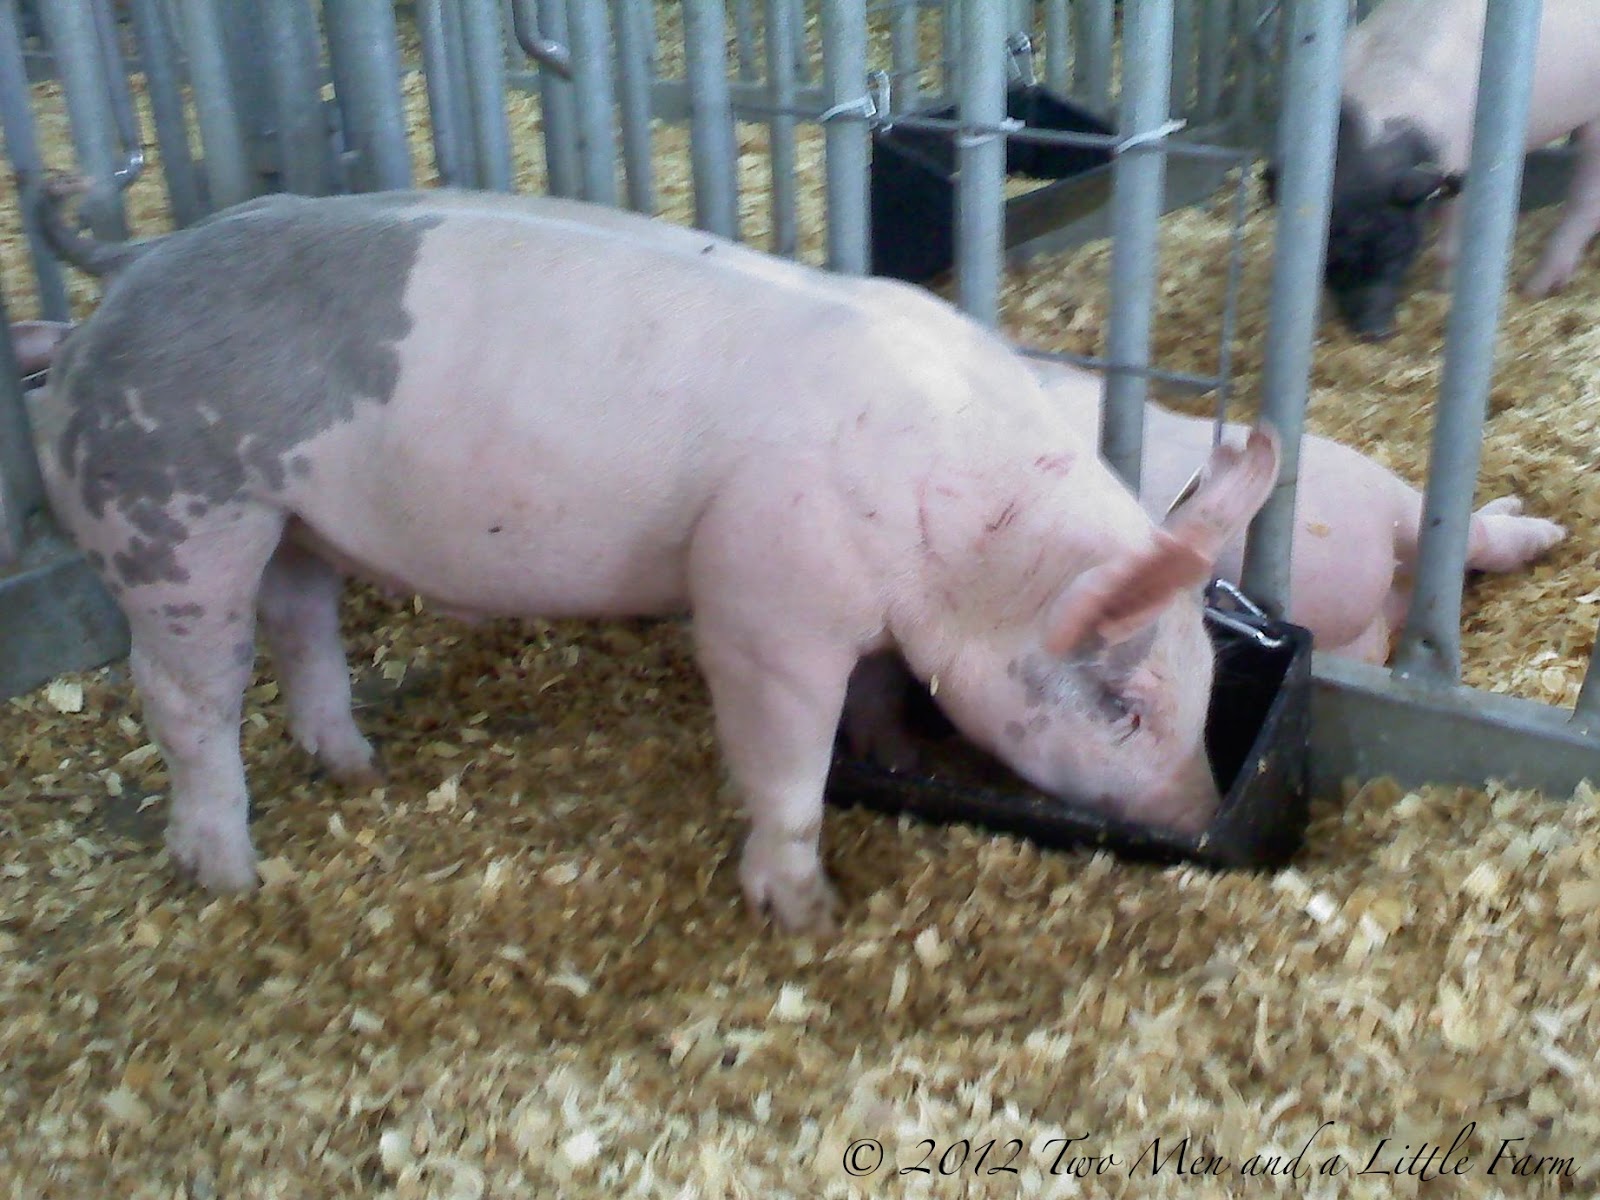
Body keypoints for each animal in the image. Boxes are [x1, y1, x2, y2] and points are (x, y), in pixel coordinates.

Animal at [19, 188, 1280, 933]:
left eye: (1207, 686)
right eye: (1121, 704)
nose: (1195, 816)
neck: (961, 537)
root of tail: (131, 269)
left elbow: (875, 699)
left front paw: (893, 752)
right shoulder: (761, 600)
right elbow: (784, 761)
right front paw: (807, 913)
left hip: (283, 515)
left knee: (301, 624)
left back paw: (357, 769)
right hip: (169, 512)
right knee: (186, 694)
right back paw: (229, 874)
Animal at [1275, 0, 1600, 340]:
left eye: (1399, 248)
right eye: (1335, 255)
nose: (1376, 331)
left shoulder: (1462, 161)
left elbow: (1452, 240)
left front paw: (1445, 293)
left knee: (1587, 200)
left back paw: (1534, 289)